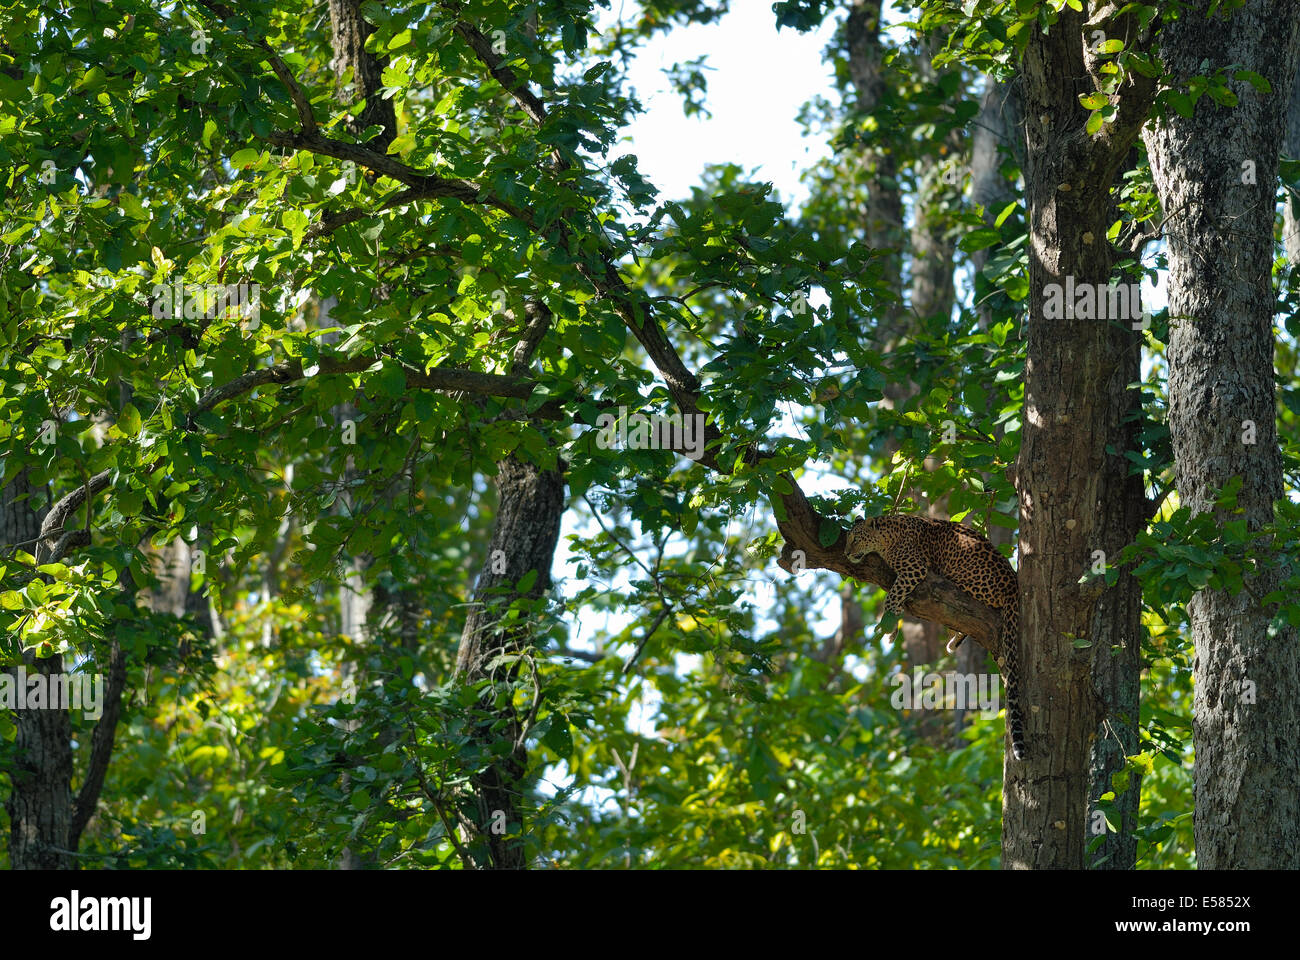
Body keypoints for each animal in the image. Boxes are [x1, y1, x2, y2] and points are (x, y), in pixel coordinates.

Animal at [845, 513, 1026, 761]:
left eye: (855, 539)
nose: (846, 553)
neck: (887, 535)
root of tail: (1012, 584)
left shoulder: (914, 568)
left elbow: (892, 594)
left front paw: (888, 624)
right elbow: (895, 596)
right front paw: (894, 624)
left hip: (960, 578)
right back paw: (954, 641)